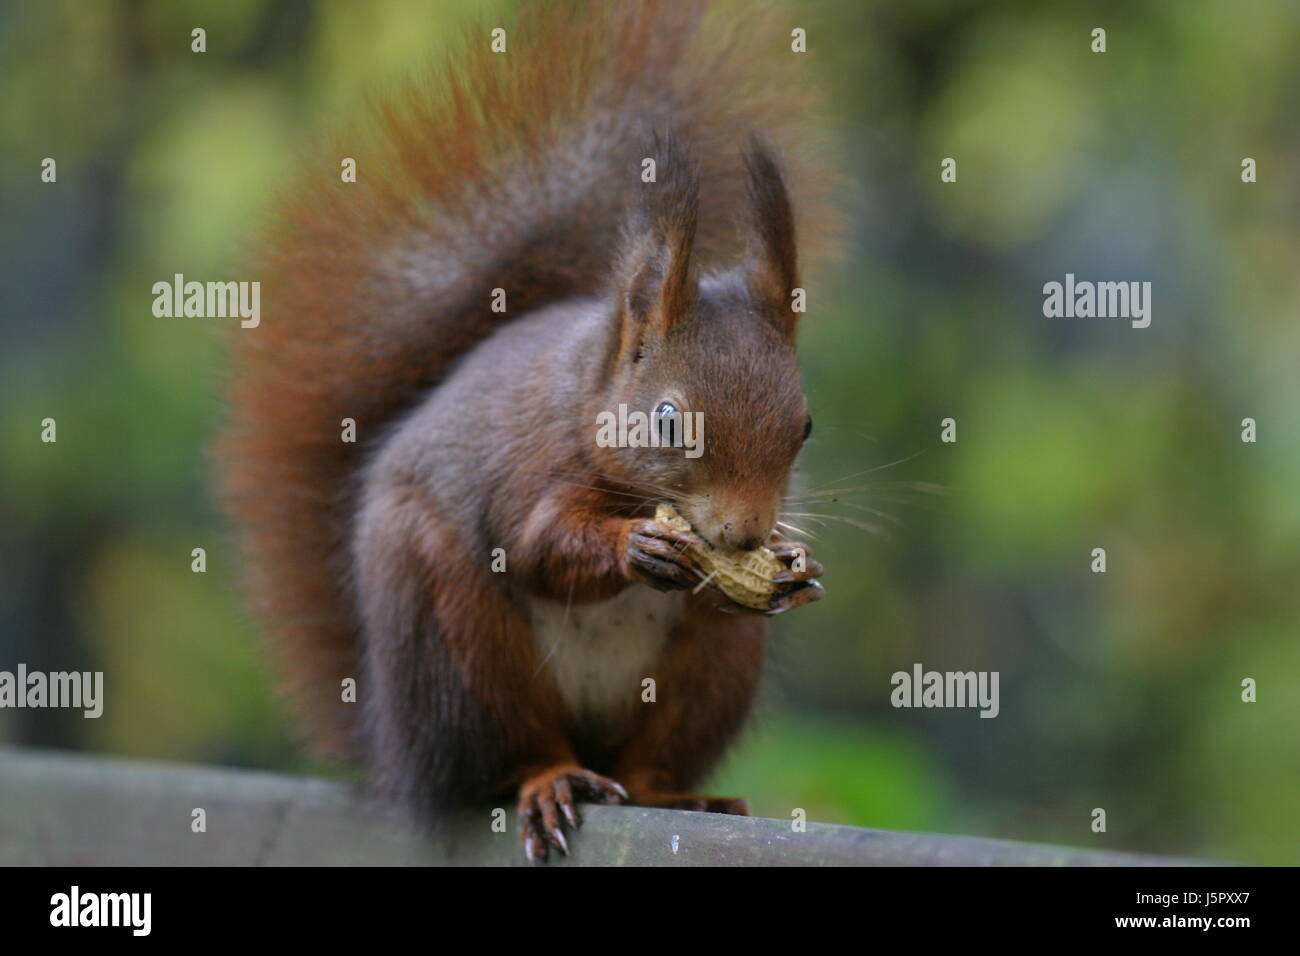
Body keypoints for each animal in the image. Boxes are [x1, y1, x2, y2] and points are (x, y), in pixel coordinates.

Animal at [219, 0, 840, 862]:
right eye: (668, 419)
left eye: (806, 424)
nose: (746, 534)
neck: (588, 406)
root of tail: (392, 746)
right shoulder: (528, 468)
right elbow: (537, 542)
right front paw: (634, 546)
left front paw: (796, 567)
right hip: (454, 638)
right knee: (508, 754)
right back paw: (550, 784)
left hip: (710, 672)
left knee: (648, 759)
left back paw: (673, 792)